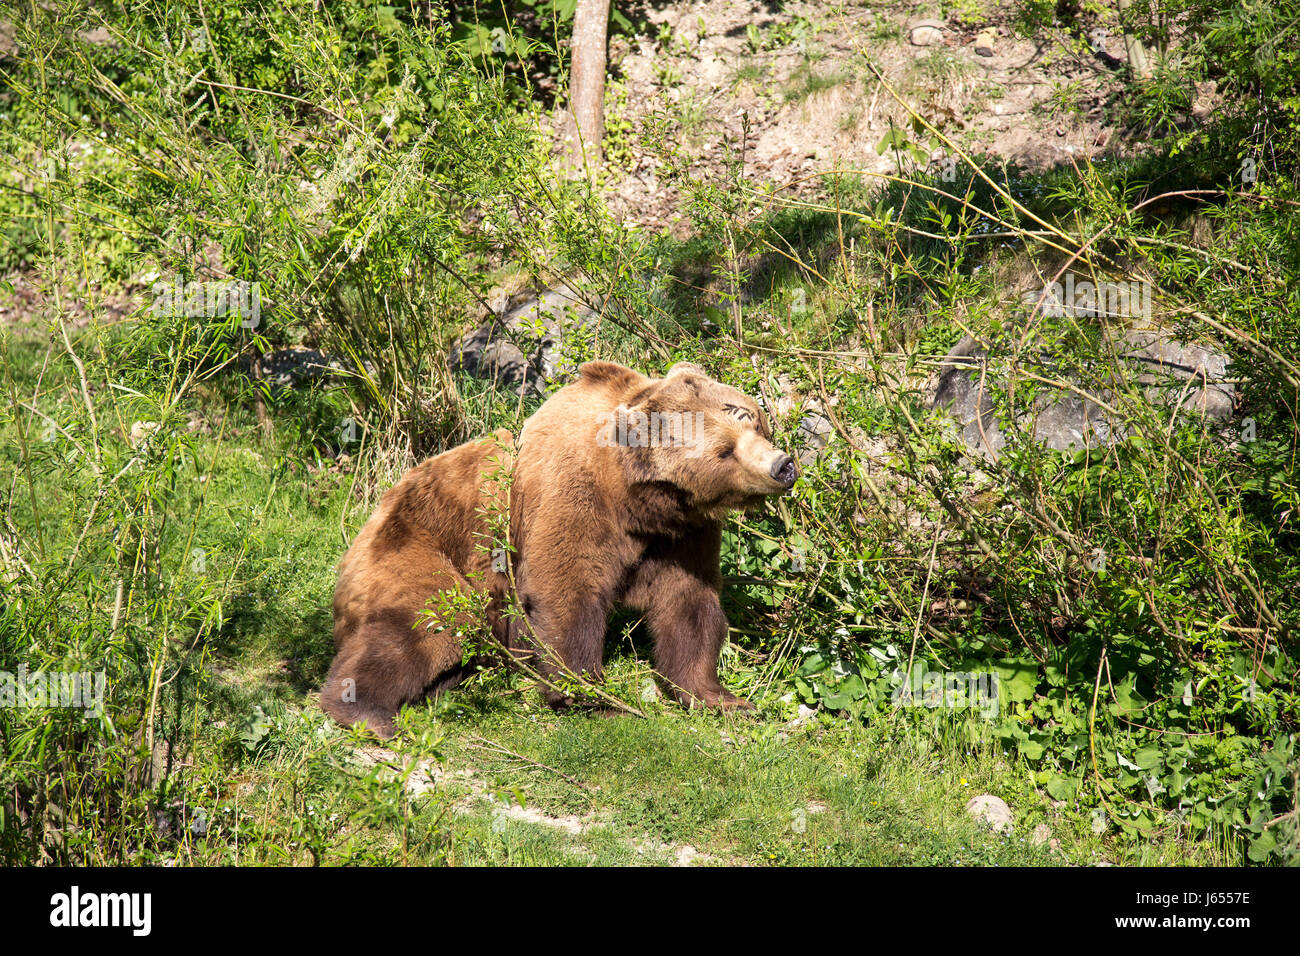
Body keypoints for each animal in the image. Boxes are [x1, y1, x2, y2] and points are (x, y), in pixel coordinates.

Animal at [319, 360, 796, 737]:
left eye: (746, 415)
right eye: (723, 451)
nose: (783, 465)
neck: (638, 500)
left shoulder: (681, 533)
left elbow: (689, 603)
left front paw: (722, 697)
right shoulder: (572, 497)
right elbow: (565, 590)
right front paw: (590, 695)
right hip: (418, 544)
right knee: (430, 622)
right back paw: (366, 711)